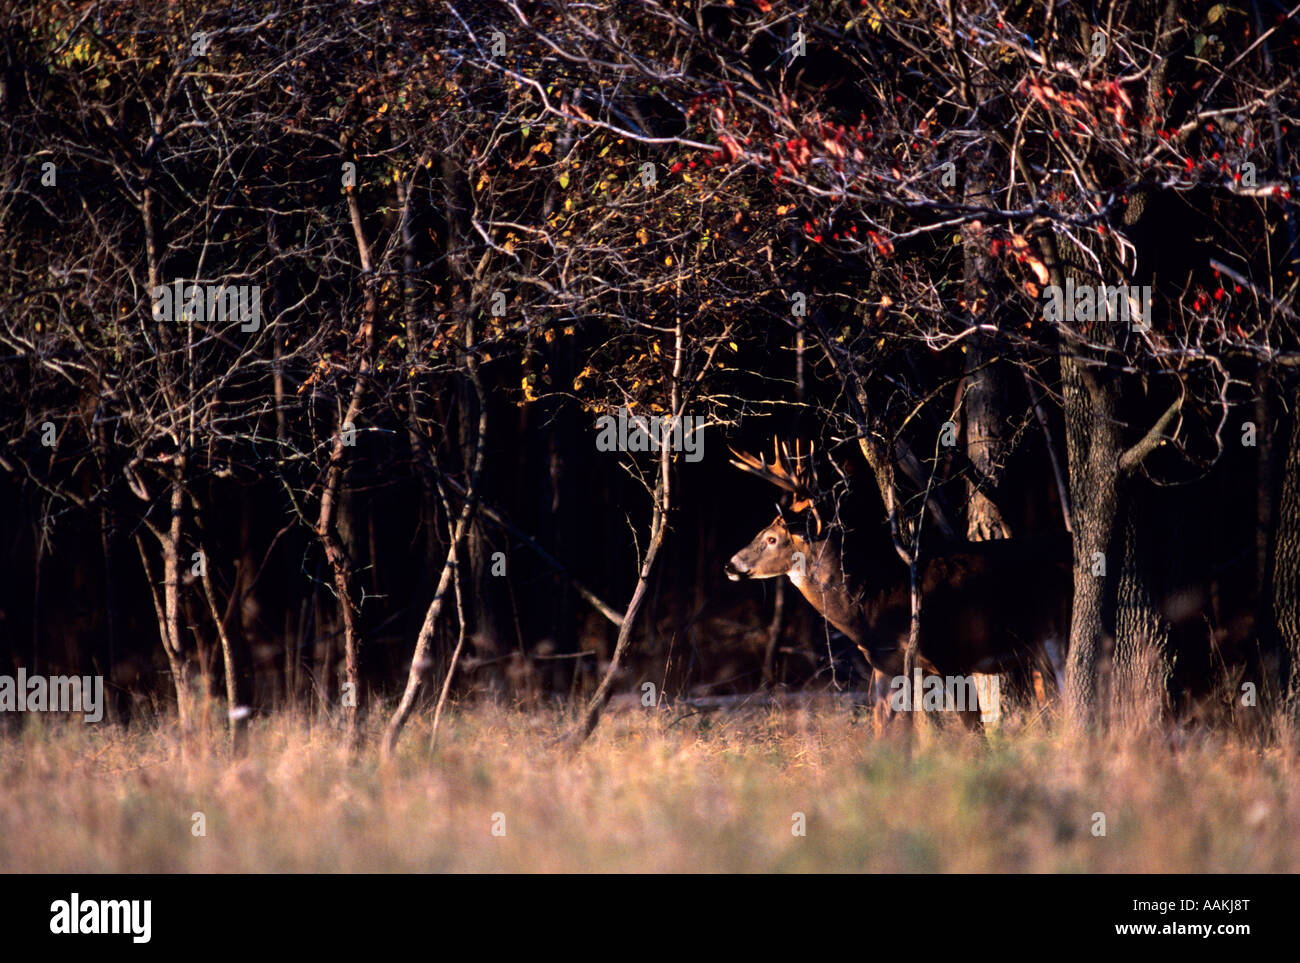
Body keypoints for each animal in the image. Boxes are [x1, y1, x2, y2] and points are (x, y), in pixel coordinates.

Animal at [723, 440, 1071, 728]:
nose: (730, 565)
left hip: (1057, 632)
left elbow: (973, 727)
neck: (874, 604)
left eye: (772, 538)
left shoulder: (950, 653)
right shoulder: (886, 666)